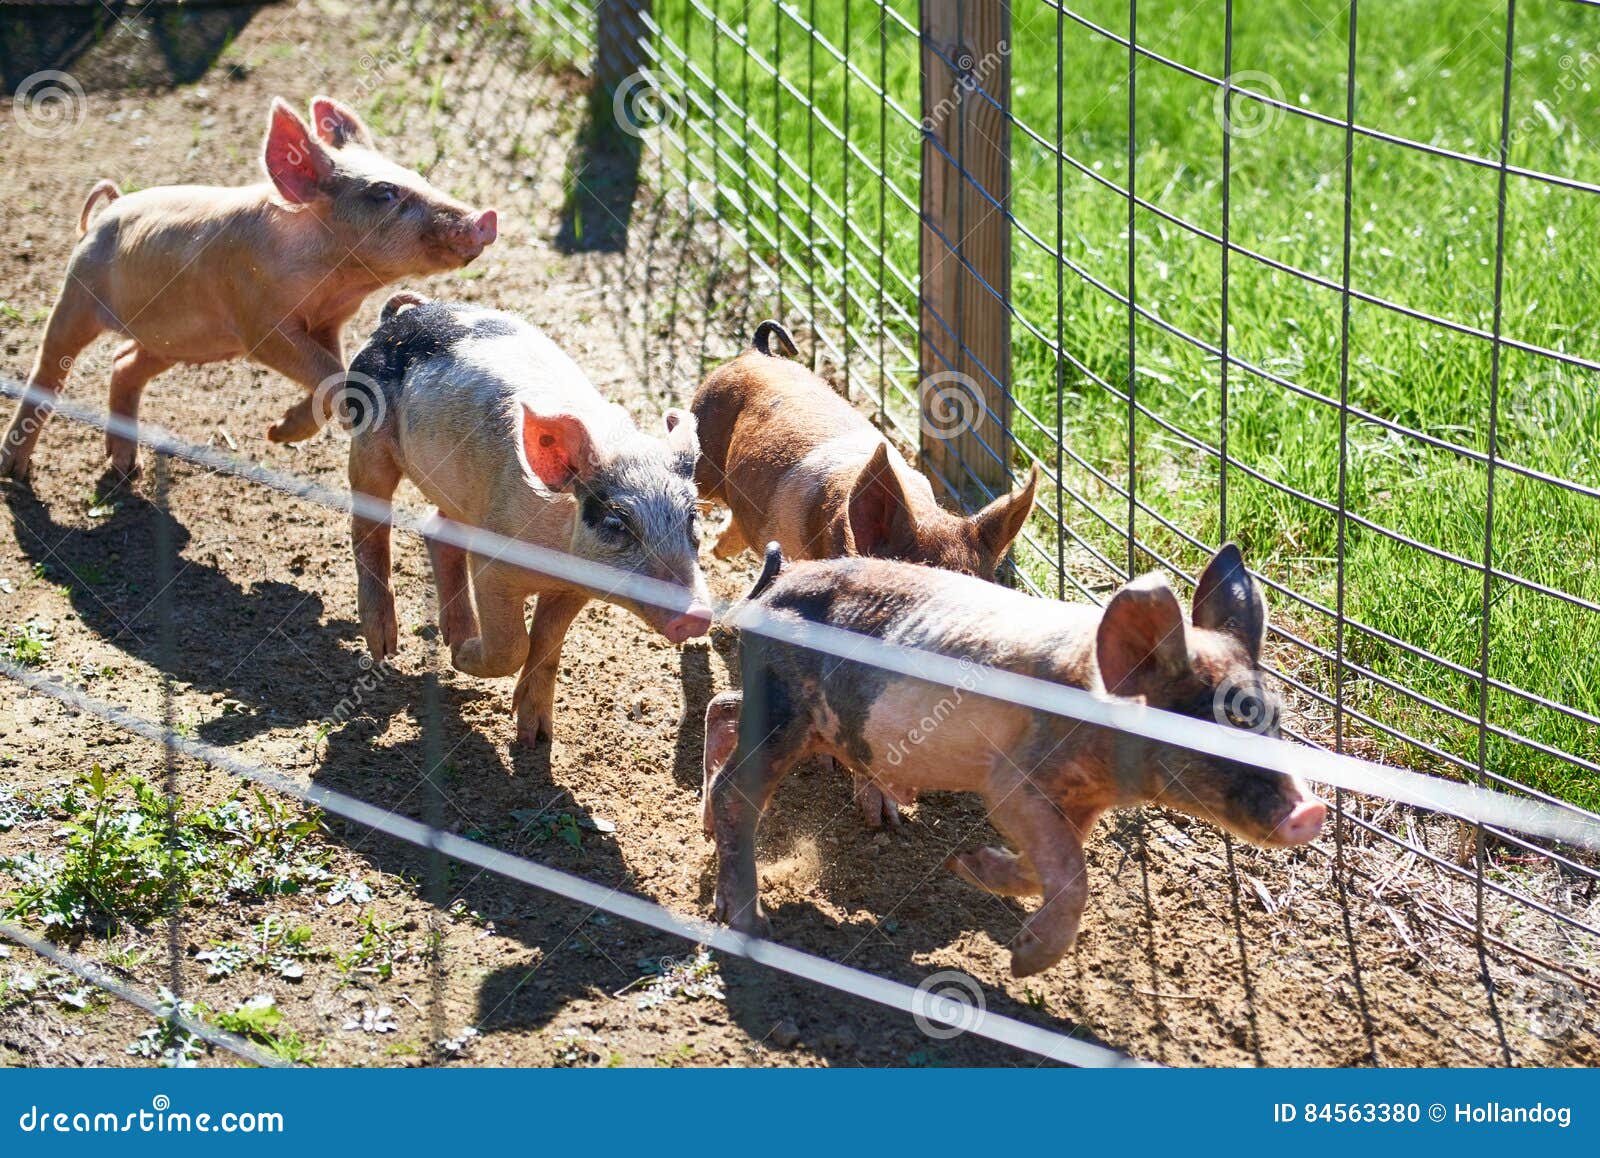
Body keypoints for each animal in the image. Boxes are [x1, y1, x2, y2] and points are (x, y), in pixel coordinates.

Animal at [0, 95, 497, 483]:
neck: (336, 280)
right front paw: (280, 431)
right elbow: (327, 369)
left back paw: (125, 470)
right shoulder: (258, 321)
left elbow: (332, 370)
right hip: (77, 293)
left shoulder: (330, 321)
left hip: (173, 340)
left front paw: (276, 433)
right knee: (48, 369)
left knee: (124, 364)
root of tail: (109, 209)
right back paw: (16, 472)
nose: (486, 217)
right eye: (385, 192)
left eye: (419, 177)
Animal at [346, 294, 713, 744]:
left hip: (461, 490)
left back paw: (456, 633)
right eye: (616, 523)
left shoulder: (574, 588)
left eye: (691, 519)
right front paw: (463, 658)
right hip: (368, 436)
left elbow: (548, 644)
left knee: (438, 531)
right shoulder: (492, 566)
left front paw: (536, 737)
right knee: (369, 522)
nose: (696, 615)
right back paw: (387, 646)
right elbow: (513, 645)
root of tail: (402, 317)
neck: (554, 557)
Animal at [703, 542, 1326, 977]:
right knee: (738, 790)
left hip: (785, 711)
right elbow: (1071, 872)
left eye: (1276, 718)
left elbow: (1047, 866)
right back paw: (749, 922)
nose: (1311, 811)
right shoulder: (1013, 783)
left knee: (722, 710)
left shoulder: (1080, 803)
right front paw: (1022, 965)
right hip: (784, 708)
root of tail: (771, 585)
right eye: (1212, 729)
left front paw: (967, 863)